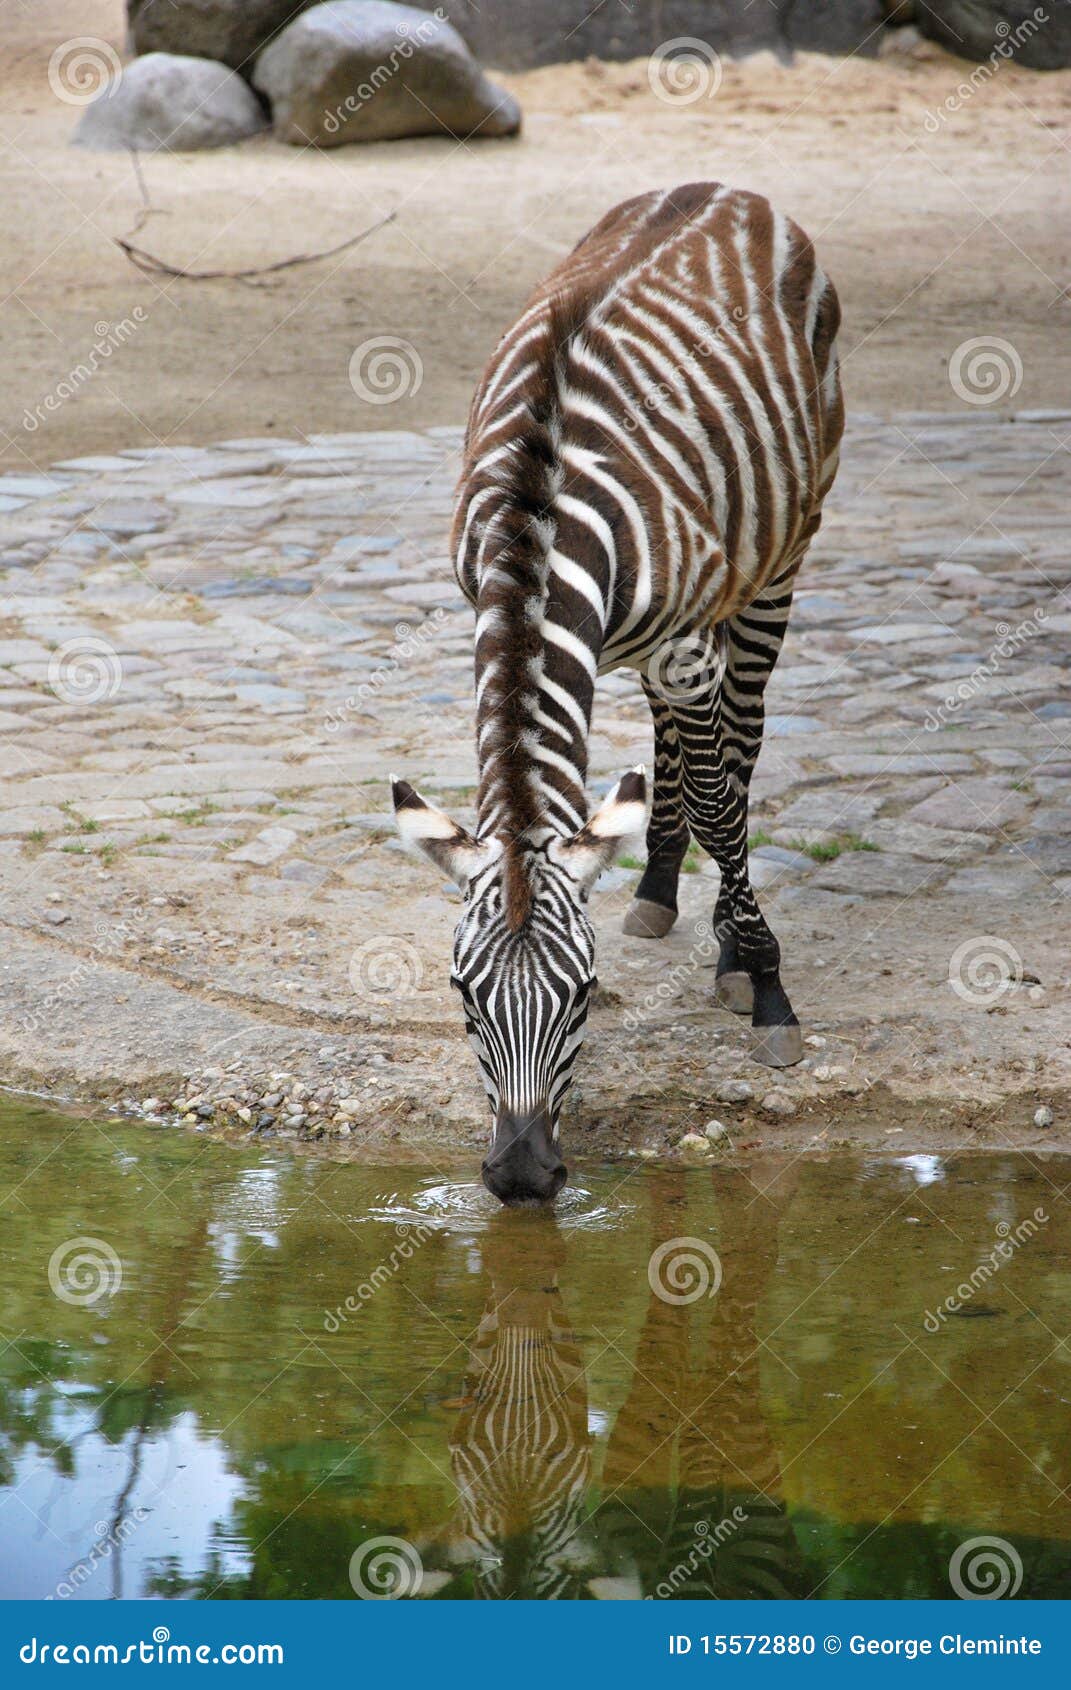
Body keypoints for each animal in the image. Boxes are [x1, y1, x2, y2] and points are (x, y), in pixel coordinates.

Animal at [394, 181, 843, 1204]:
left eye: (584, 995)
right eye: (462, 996)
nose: (521, 1178)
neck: (537, 515)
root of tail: (722, 188)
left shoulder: (683, 641)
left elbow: (722, 801)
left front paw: (765, 987)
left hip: (777, 557)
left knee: (740, 739)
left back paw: (724, 935)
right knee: (676, 739)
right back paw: (658, 882)